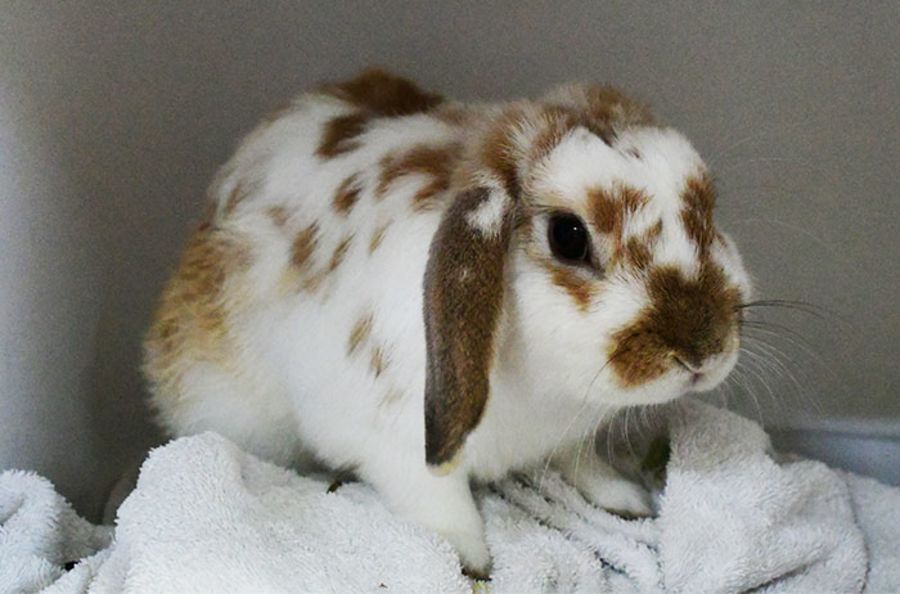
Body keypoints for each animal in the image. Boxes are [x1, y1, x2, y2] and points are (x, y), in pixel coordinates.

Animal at [143, 68, 752, 576]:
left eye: (708, 210)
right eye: (568, 237)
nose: (702, 351)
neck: (548, 391)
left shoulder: (570, 435)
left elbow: (580, 463)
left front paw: (626, 498)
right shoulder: (397, 445)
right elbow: (443, 506)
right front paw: (471, 561)